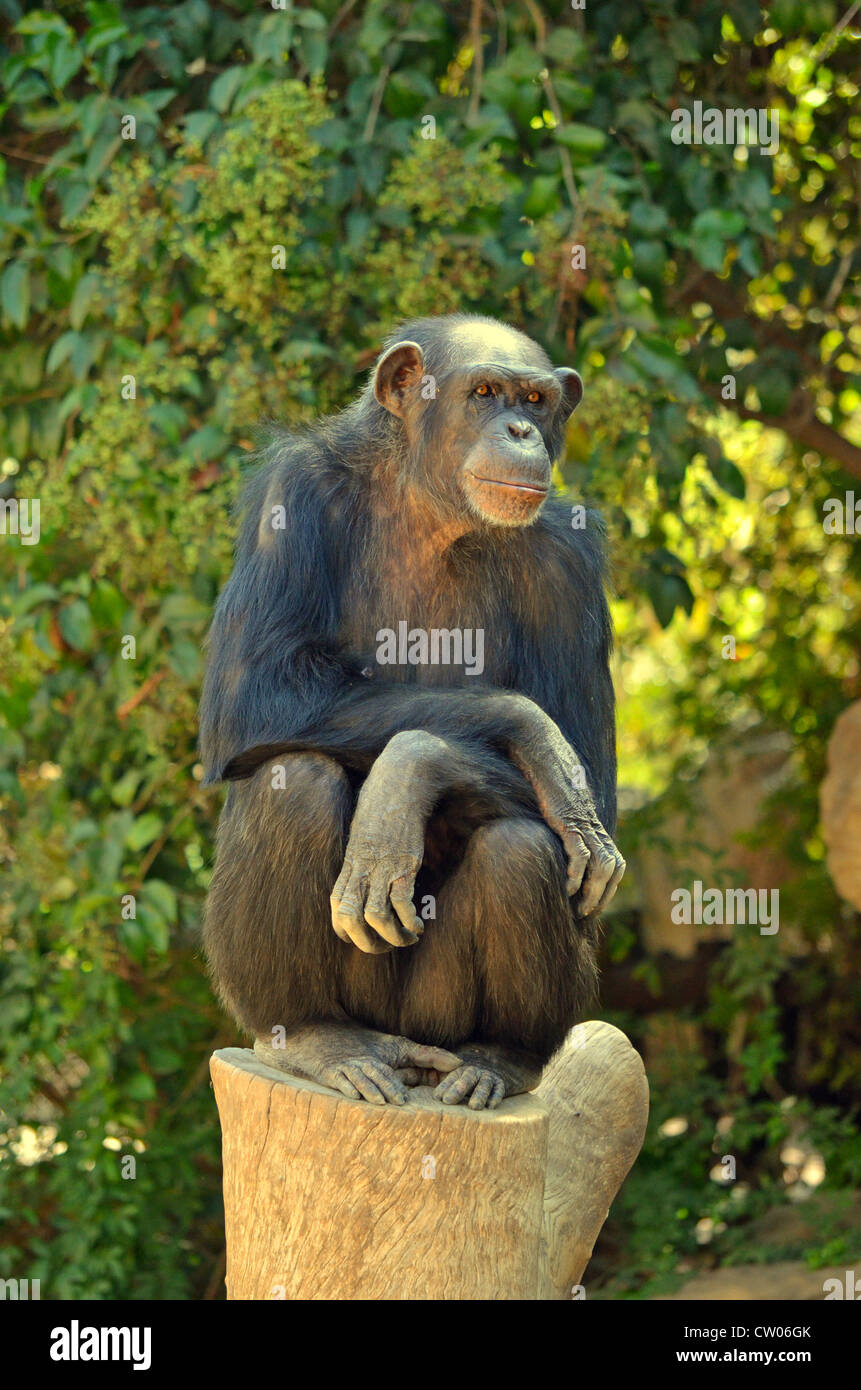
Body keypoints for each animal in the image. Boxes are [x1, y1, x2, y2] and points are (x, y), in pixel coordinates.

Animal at [199, 314, 624, 1110]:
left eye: (537, 399)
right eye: (484, 393)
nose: (521, 429)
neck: (431, 510)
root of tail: (409, 1051)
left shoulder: (571, 562)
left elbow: (592, 782)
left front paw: (410, 774)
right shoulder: (290, 493)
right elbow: (255, 692)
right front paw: (528, 731)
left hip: (437, 1014)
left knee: (523, 851)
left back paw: (501, 1057)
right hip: (355, 1005)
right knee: (291, 783)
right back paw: (315, 1036)